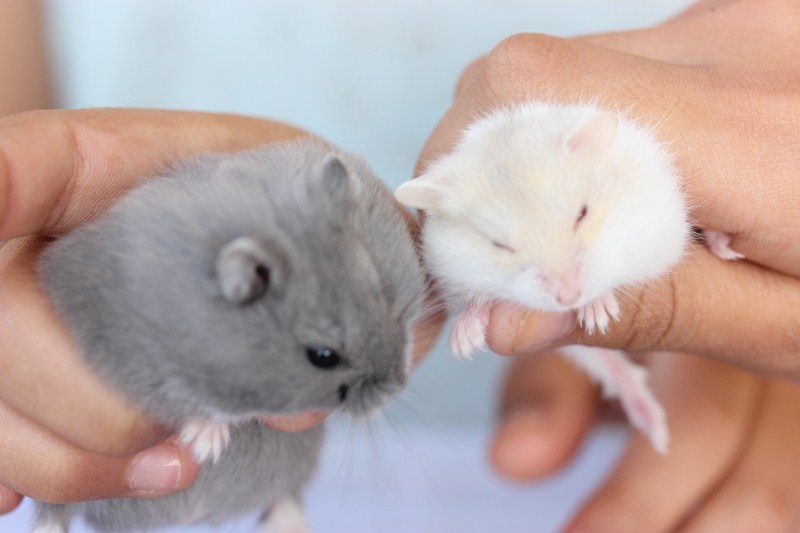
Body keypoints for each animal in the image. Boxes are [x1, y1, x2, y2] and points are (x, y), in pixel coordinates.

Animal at [395, 101, 711, 454]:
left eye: (582, 214)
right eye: (498, 244)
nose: (568, 299)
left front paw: (598, 316)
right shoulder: (452, 274)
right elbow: (472, 302)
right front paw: (464, 344)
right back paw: (654, 429)